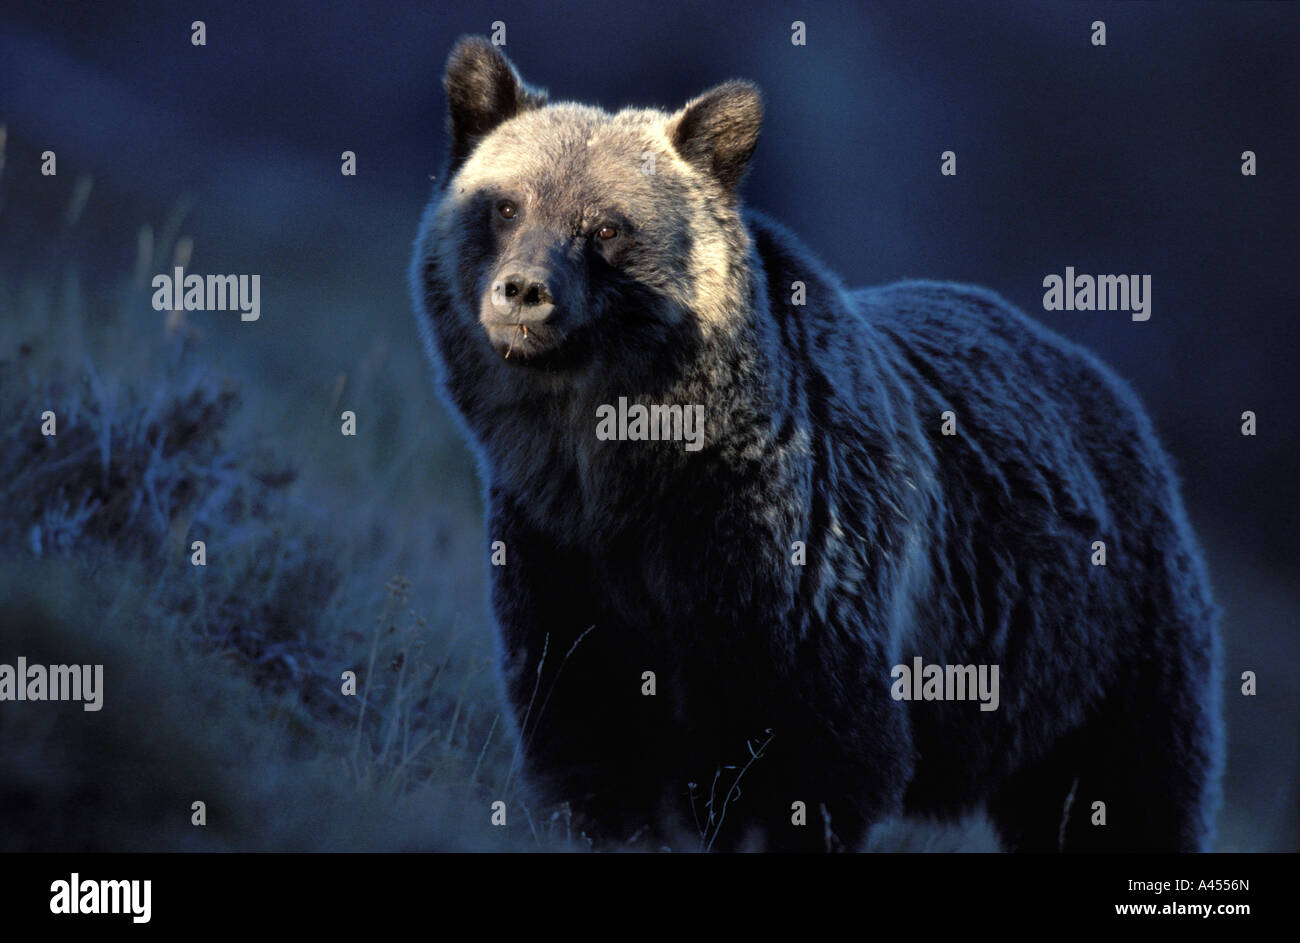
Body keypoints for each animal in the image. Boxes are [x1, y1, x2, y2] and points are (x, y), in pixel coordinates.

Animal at [410, 36, 1224, 852]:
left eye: (606, 227)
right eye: (507, 204)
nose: (524, 291)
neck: (631, 469)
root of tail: (1100, 378)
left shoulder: (795, 566)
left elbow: (819, 758)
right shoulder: (559, 553)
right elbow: (583, 725)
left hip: (1105, 643)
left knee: (1123, 791)